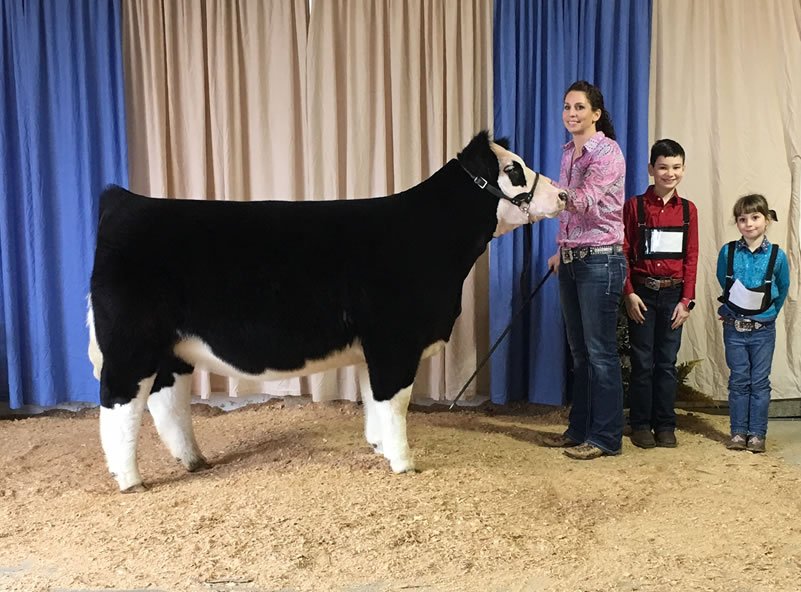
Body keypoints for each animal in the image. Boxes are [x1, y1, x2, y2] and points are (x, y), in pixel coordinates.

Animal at [87, 131, 567, 492]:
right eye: (513, 169)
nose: (563, 194)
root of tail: (124, 201)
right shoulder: (395, 341)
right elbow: (395, 402)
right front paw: (403, 462)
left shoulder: (375, 347)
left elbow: (374, 399)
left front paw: (379, 447)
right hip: (131, 344)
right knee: (118, 405)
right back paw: (130, 480)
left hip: (172, 348)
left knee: (167, 401)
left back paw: (192, 459)